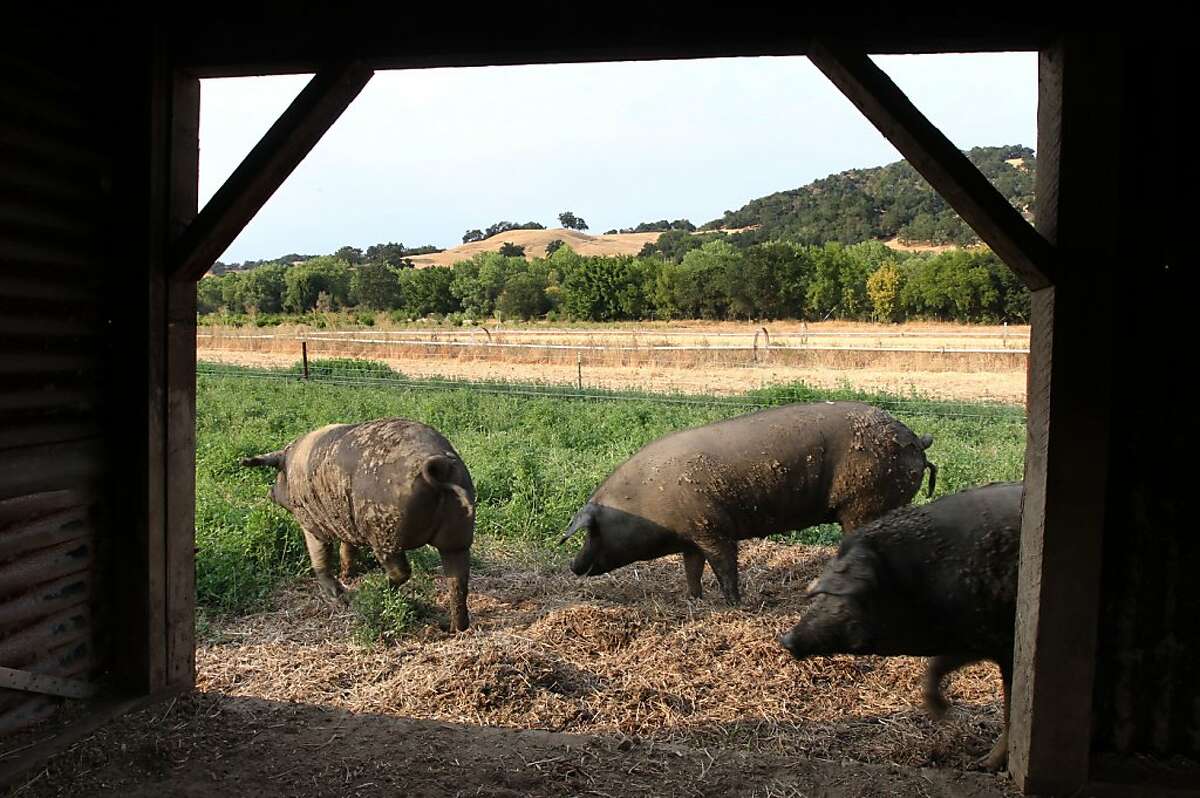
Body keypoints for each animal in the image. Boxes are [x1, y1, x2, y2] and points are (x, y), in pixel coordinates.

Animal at [240, 418, 476, 631]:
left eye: (277, 473)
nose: (270, 493)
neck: (291, 465)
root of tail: (438, 466)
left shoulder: (310, 521)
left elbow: (320, 557)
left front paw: (339, 595)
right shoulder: (346, 525)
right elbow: (347, 548)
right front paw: (347, 574)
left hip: (386, 532)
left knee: (401, 571)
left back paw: (373, 592)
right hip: (459, 535)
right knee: (458, 579)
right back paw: (451, 627)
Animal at [561, 401, 936, 605]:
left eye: (591, 532)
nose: (573, 566)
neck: (644, 502)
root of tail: (917, 440)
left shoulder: (713, 528)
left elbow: (725, 566)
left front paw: (733, 605)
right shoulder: (692, 535)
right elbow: (692, 569)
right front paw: (693, 599)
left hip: (865, 503)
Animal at [777, 481, 1021, 771]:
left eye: (841, 595)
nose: (786, 639)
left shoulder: (1001, 642)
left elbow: (1010, 708)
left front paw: (981, 762)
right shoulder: (974, 639)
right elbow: (937, 667)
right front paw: (941, 712)